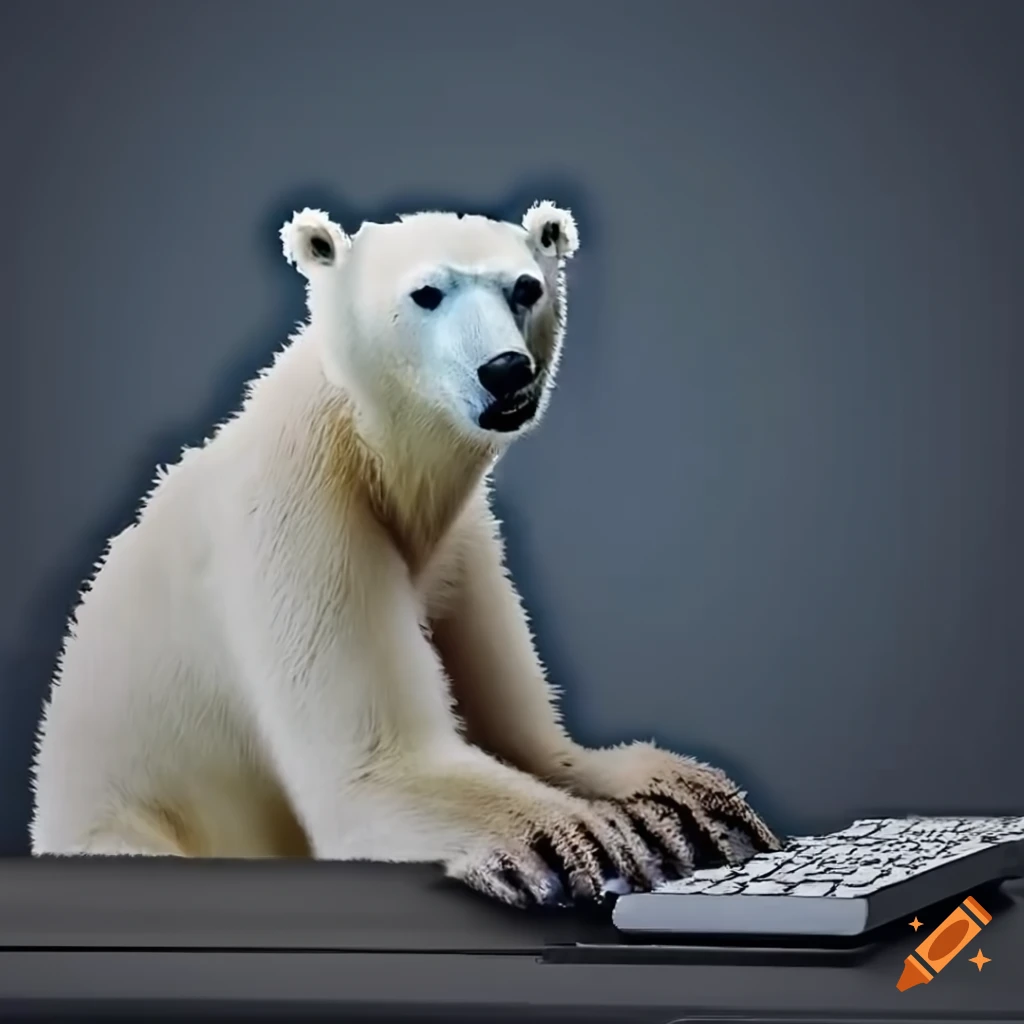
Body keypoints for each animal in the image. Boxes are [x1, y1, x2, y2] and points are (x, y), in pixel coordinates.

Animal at [29, 200, 780, 908]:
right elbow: (375, 770)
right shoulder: (296, 509)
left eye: (526, 286)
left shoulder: (462, 550)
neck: (374, 444)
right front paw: (589, 840)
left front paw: (683, 800)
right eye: (427, 293)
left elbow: (521, 732)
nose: (506, 370)